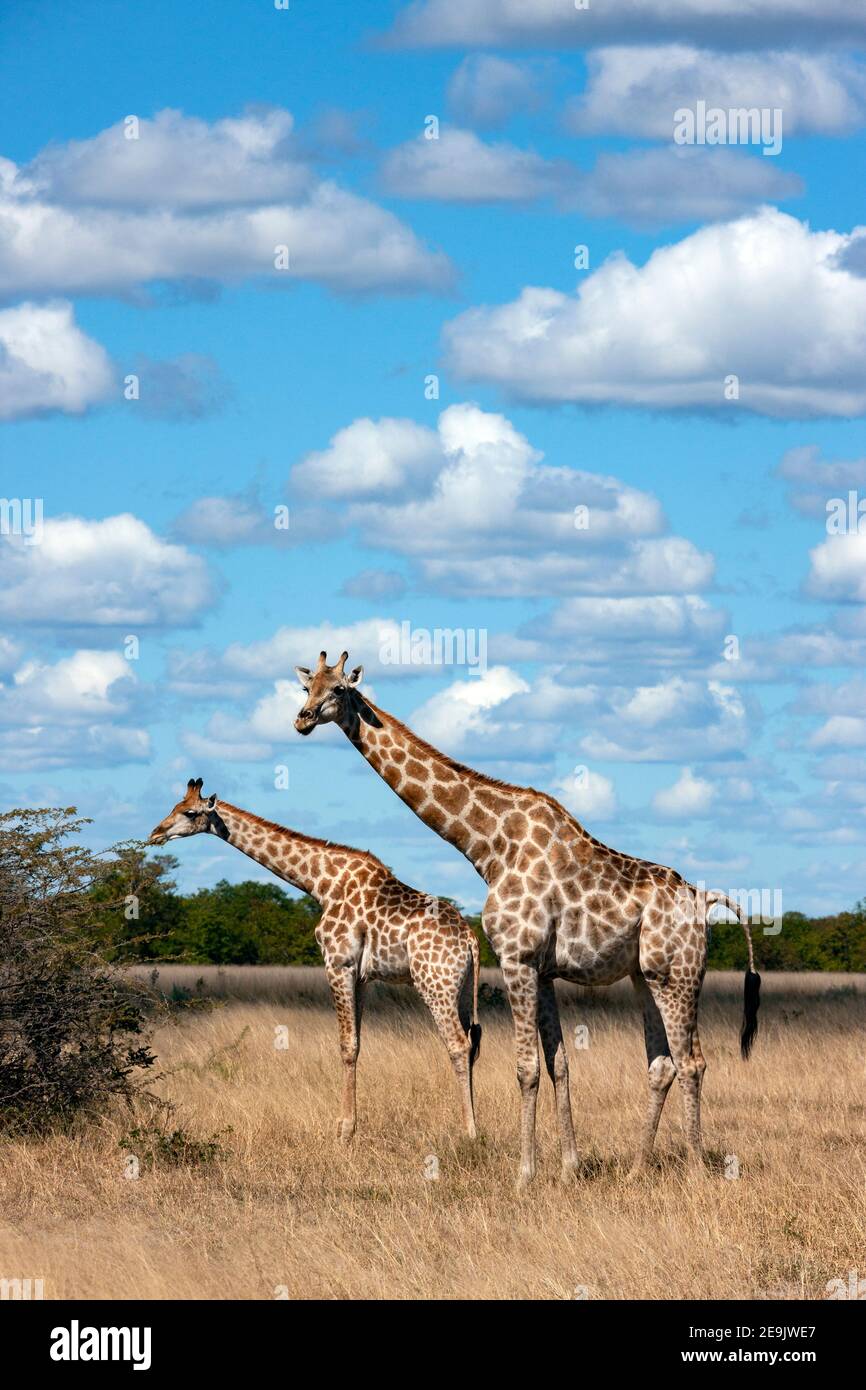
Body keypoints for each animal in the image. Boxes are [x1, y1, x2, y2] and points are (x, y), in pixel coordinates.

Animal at [148, 778, 482, 1141]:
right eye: (173, 806)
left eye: (189, 813)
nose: (155, 833)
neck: (320, 883)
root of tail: (471, 940)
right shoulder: (361, 976)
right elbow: (357, 1043)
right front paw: (348, 1126)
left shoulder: (337, 964)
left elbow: (346, 1045)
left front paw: (344, 1131)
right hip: (463, 989)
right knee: (472, 1043)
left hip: (435, 984)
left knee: (457, 1045)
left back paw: (469, 1133)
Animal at [294, 652, 761, 1187]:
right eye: (307, 687)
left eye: (337, 690)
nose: (302, 720)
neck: (488, 846)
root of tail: (704, 901)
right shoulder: (543, 969)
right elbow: (558, 1062)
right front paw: (568, 1169)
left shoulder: (515, 957)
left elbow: (526, 1068)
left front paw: (524, 1176)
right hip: (648, 975)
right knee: (662, 1063)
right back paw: (637, 1169)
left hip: (677, 975)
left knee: (692, 1062)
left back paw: (697, 1170)